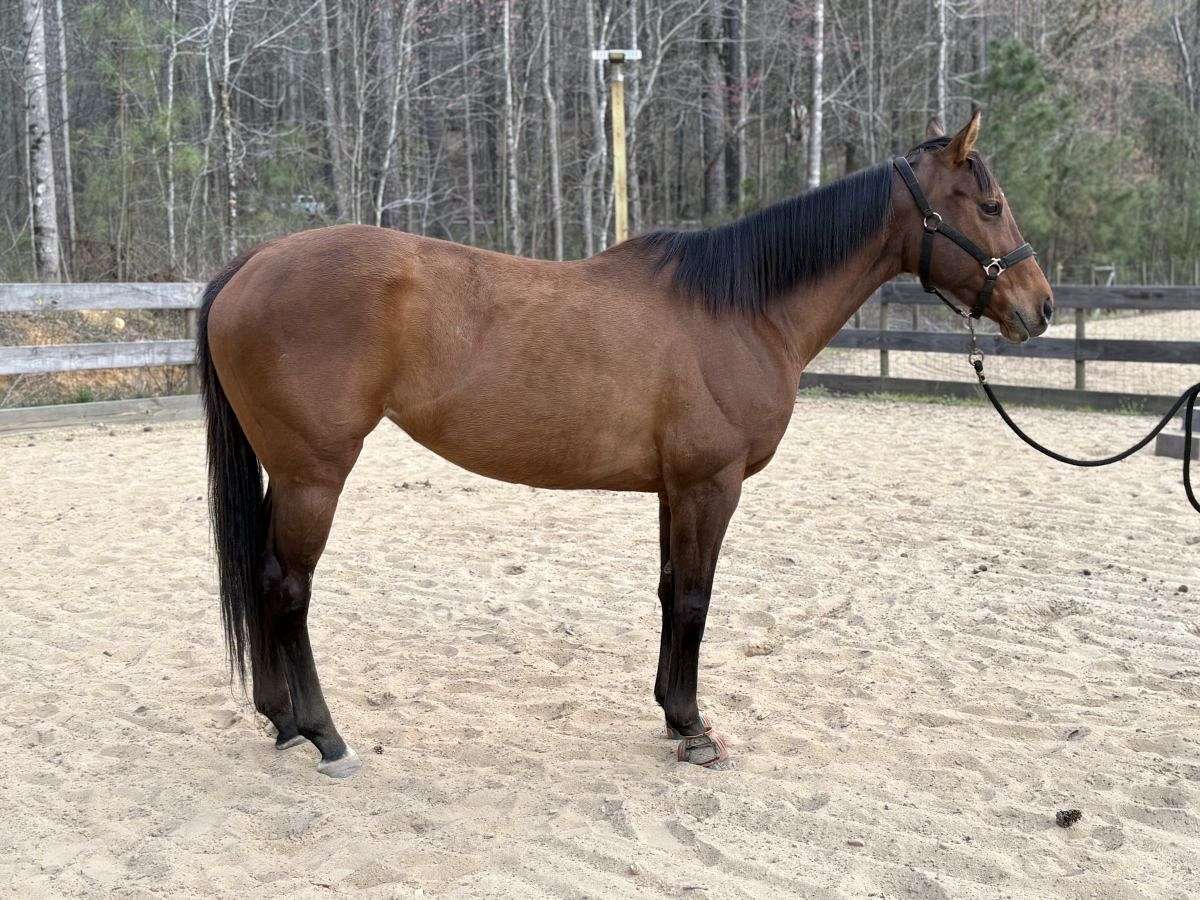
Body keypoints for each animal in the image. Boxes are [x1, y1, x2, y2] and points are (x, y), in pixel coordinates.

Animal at [198, 112, 1052, 777]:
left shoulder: (676, 489)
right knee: (288, 588)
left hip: (287, 473)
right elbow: (697, 599)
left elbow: (672, 594)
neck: (740, 309)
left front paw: (673, 714)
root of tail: (252, 262)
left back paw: (281, 720)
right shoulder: (712, 485)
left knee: (262, 577)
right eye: (990, 203)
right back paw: (325, 736)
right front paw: (695, 731)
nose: (1038, 306)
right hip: (314, 475)